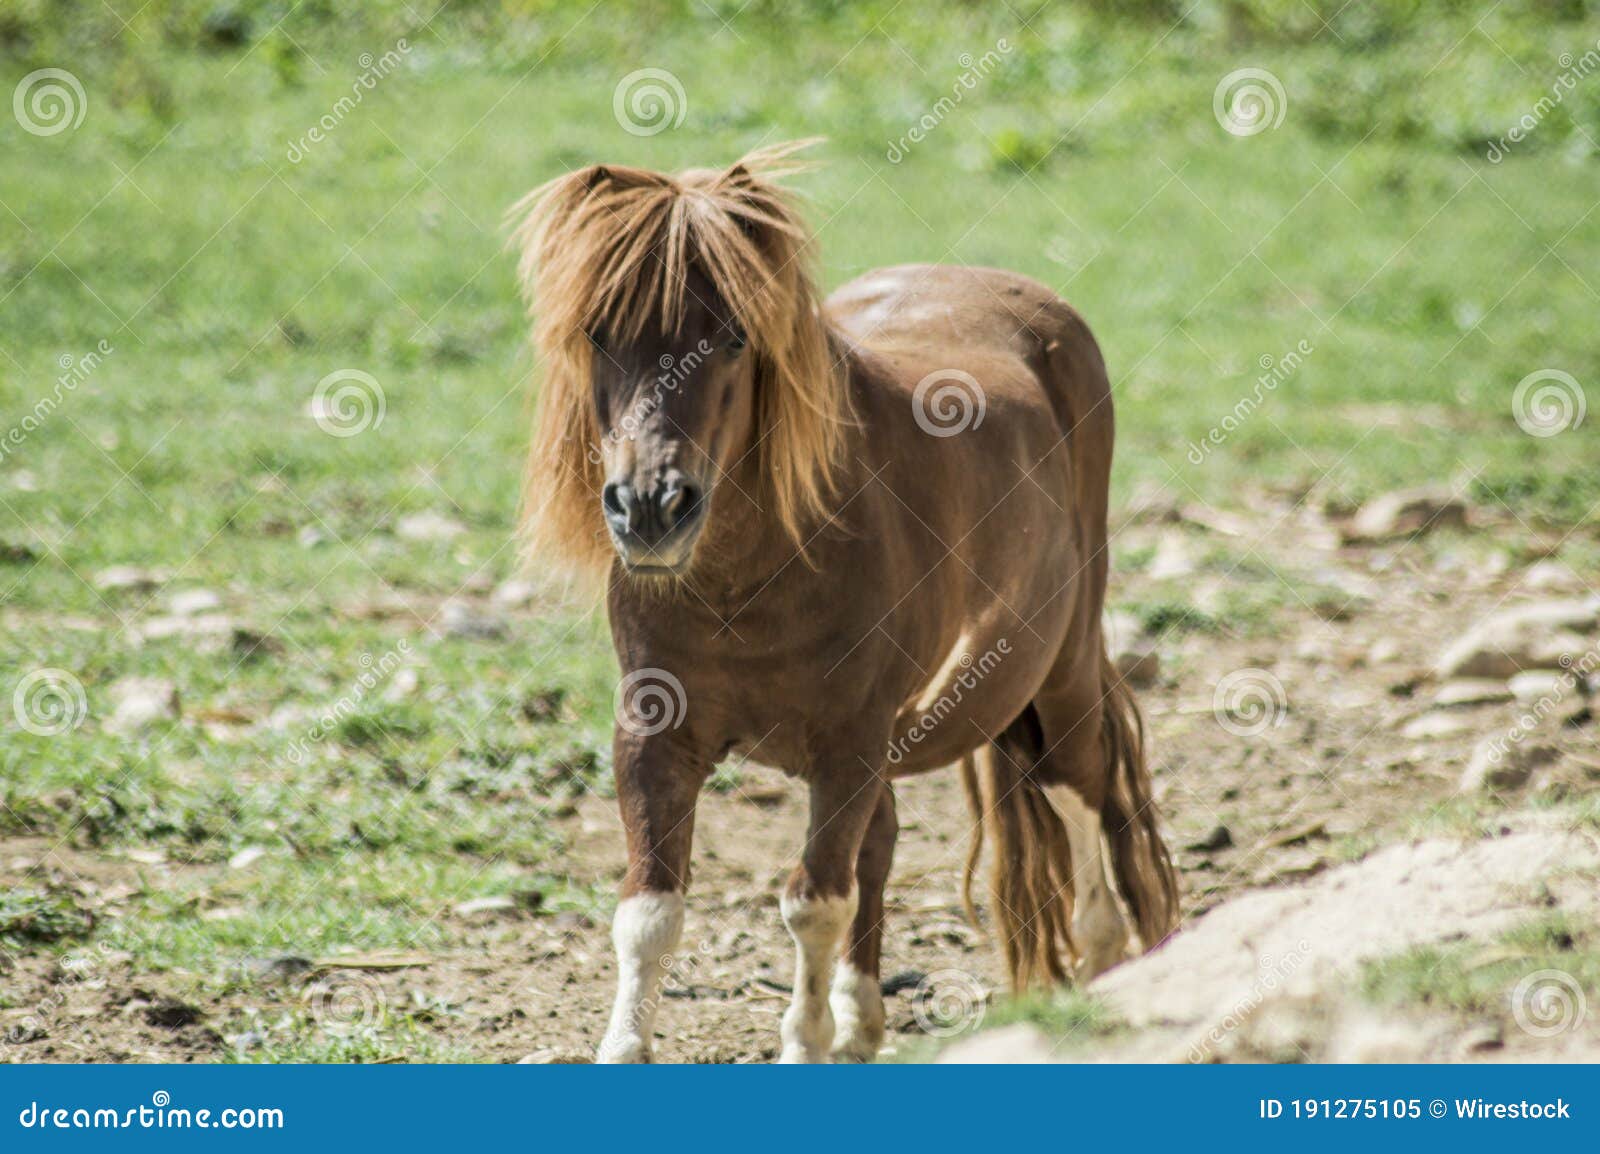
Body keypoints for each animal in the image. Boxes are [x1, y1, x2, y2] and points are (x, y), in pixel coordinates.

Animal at [509, 140, 1180, 1063]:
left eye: (733, 336)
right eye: (598, 332)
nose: (649, 508)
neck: (747, 582)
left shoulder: (847, 745)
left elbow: (814, 902)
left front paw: (803, 1042)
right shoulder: (653, 734)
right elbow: (649, 913)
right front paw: (628, 1048)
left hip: (1057, 676)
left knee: (1082, 792)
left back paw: (1103, 967)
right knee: (885, 845)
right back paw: (863, 1024)